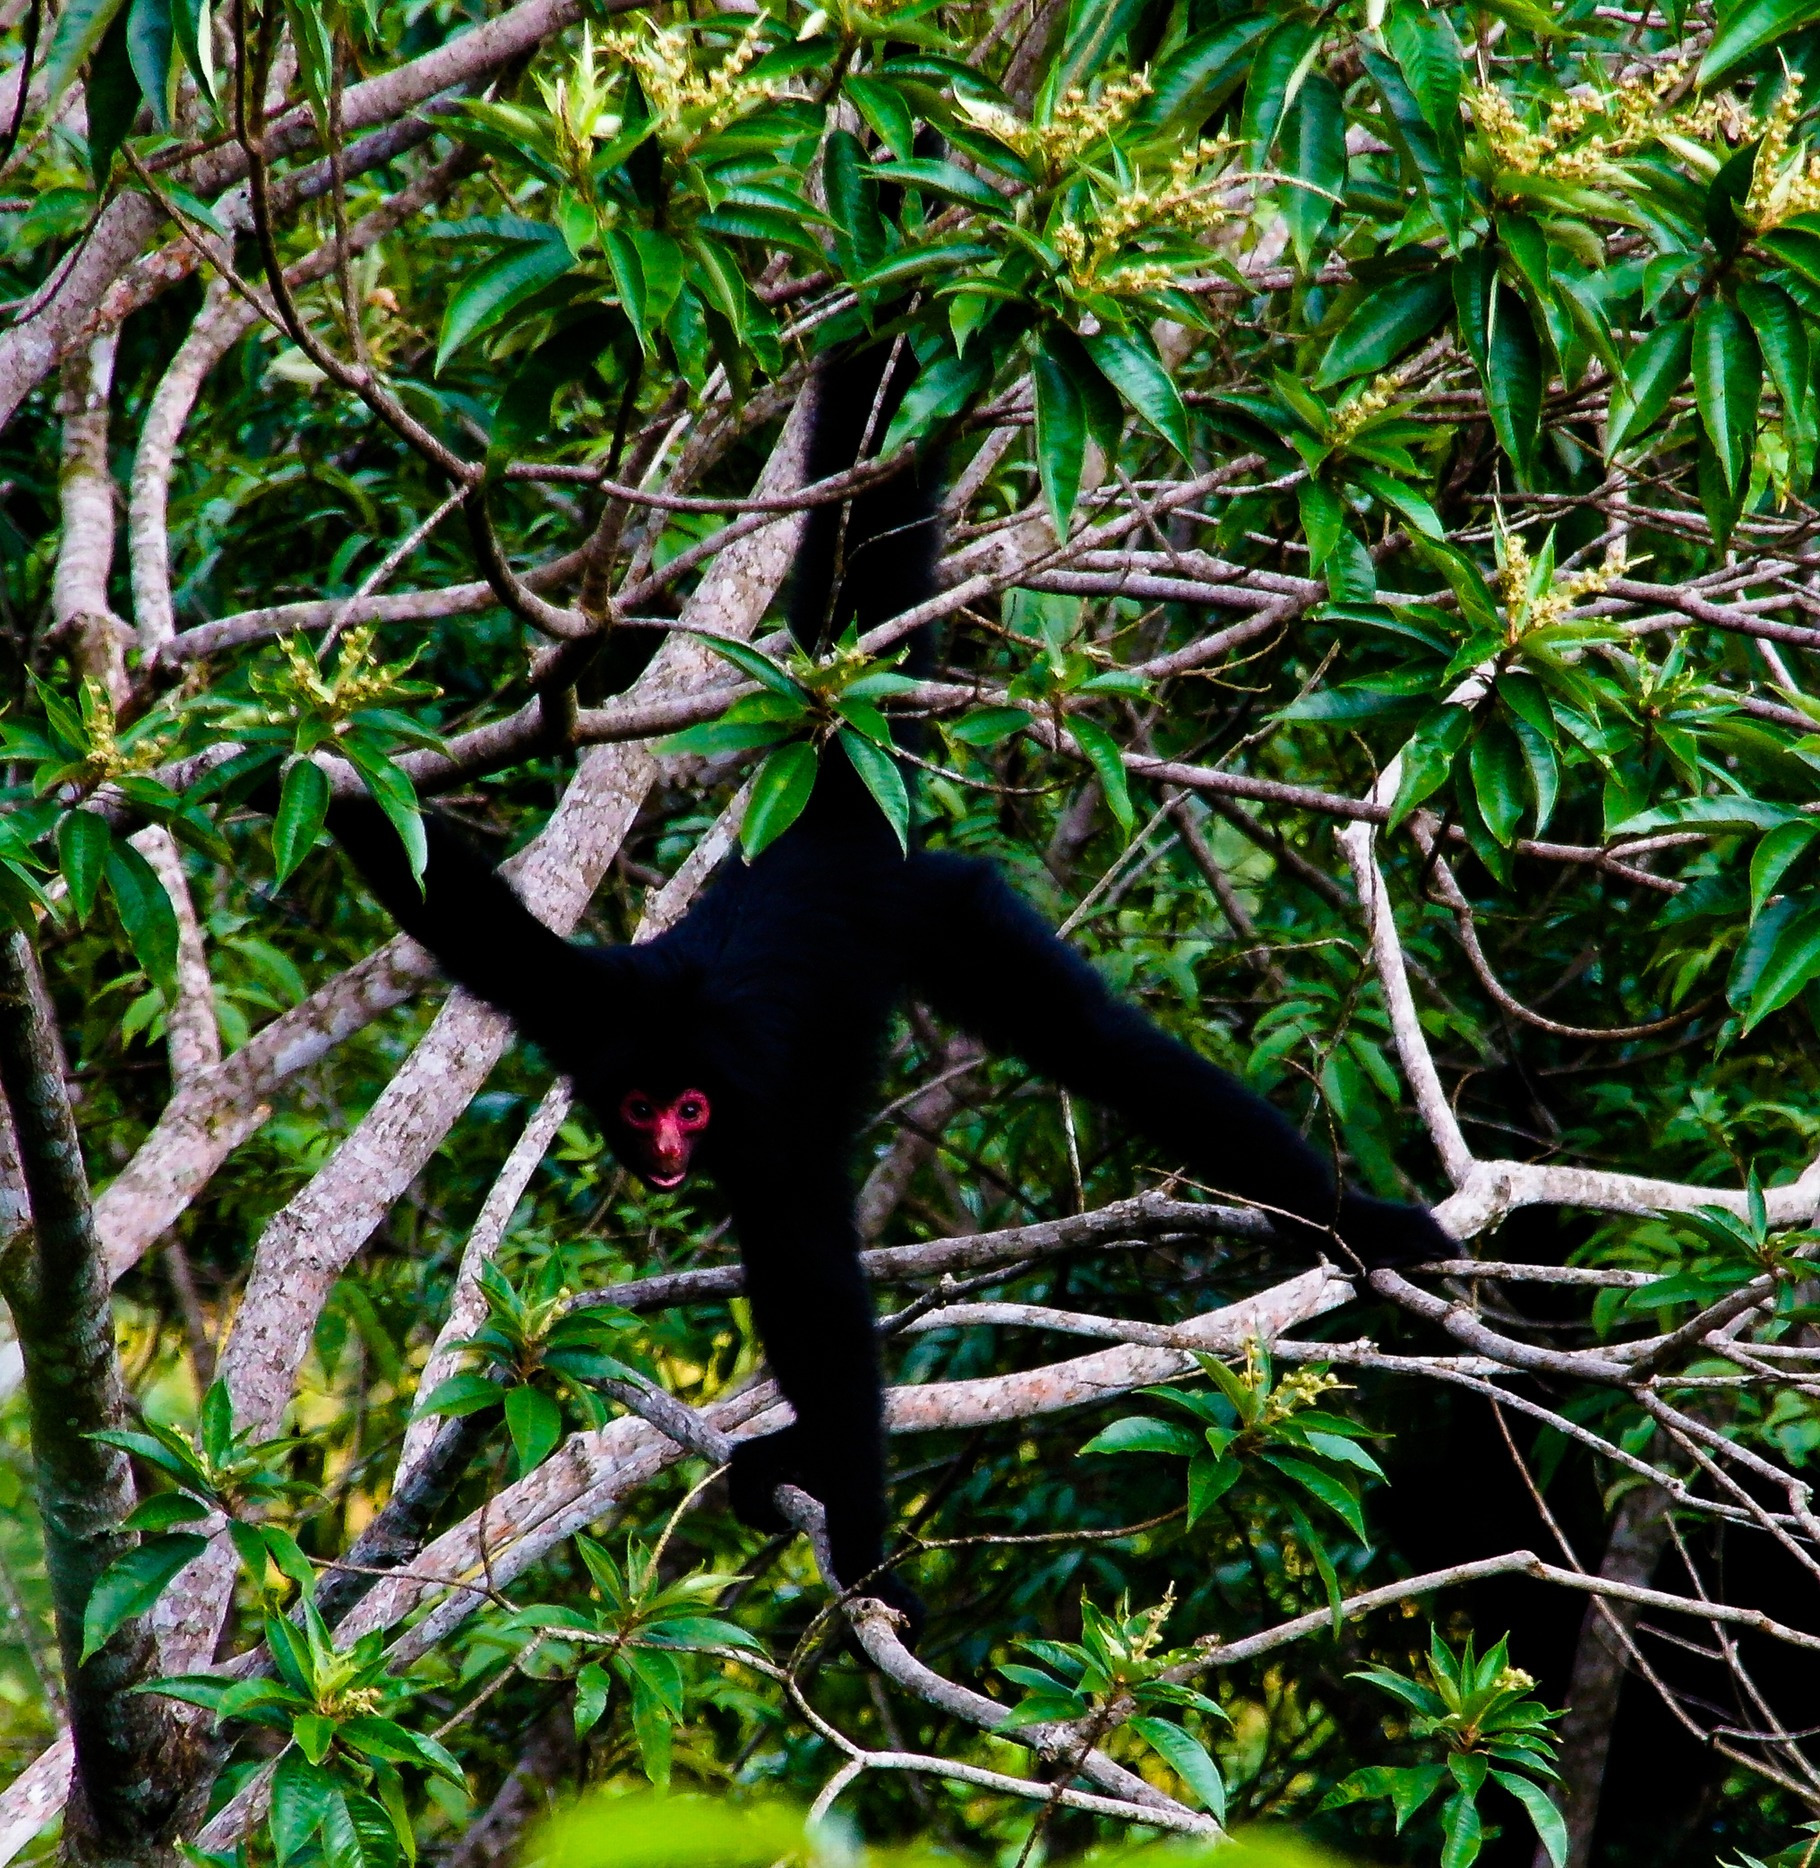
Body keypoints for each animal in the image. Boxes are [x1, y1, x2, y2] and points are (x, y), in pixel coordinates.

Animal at [310, 342, 1452, 1629]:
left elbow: (817, 1281)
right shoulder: (575, 995)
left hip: (945, 908)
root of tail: (827, 823)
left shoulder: (761, 1113)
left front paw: (859, 1542)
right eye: (642, 1105)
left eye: (689, 1106)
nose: (665, 1147)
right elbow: (446, 894)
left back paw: (1360, 1222)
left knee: (1106, 1050)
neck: (676, 1028)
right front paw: (318, 765)